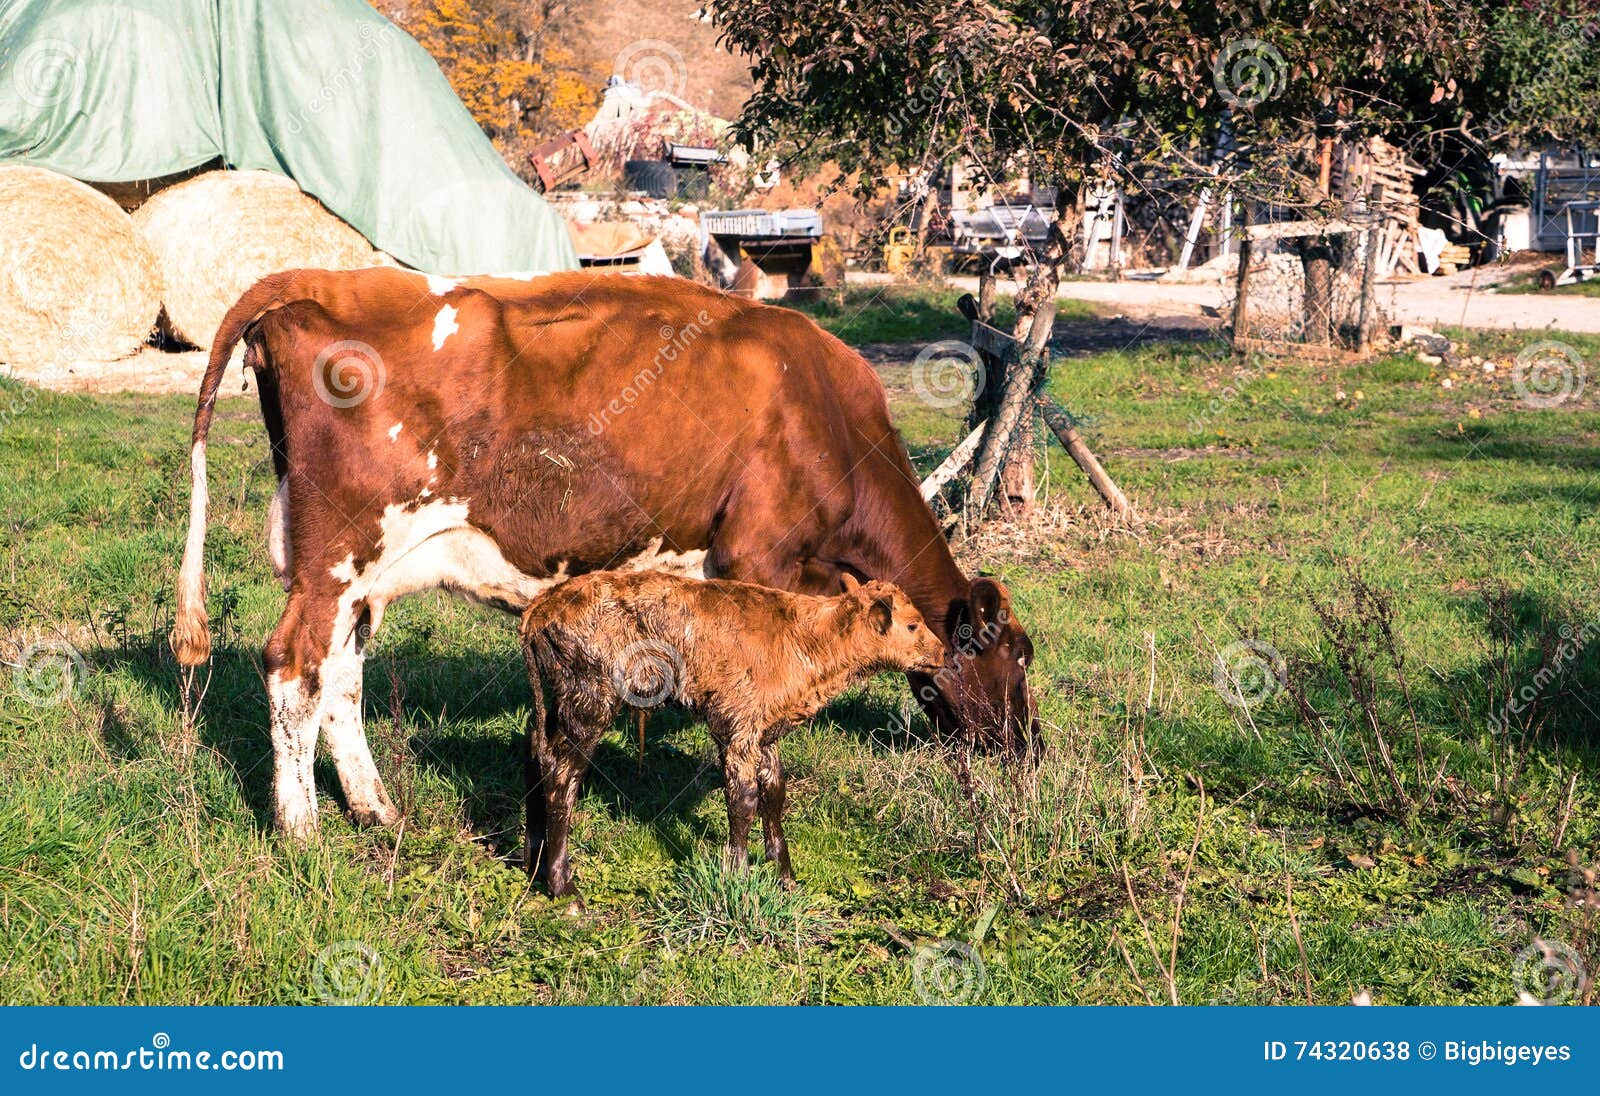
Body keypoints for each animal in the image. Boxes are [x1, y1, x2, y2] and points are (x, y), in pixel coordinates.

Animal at [169, 267, 1038, 837]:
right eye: (1019, 656)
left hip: (363, 577)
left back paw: (375, 809)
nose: (1027, 748)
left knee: (340, 679)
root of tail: (324, 281)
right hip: (337, 558)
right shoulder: (762, 559)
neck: (821, 410)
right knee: (291, 670)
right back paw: (301, 830)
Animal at [520, 570, 948, 906]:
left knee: (535, 754)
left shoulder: (767, 732)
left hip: (557, 703)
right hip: (590, 701)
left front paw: (785, 877)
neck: (809, 637)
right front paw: (739, 878)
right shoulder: (737, 728)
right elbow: (743, 800)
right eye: (913, 624)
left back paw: (533, 863)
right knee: (563, 776)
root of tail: (539, 608)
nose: (943, 652)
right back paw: (564, 889)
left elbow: (774, 794)